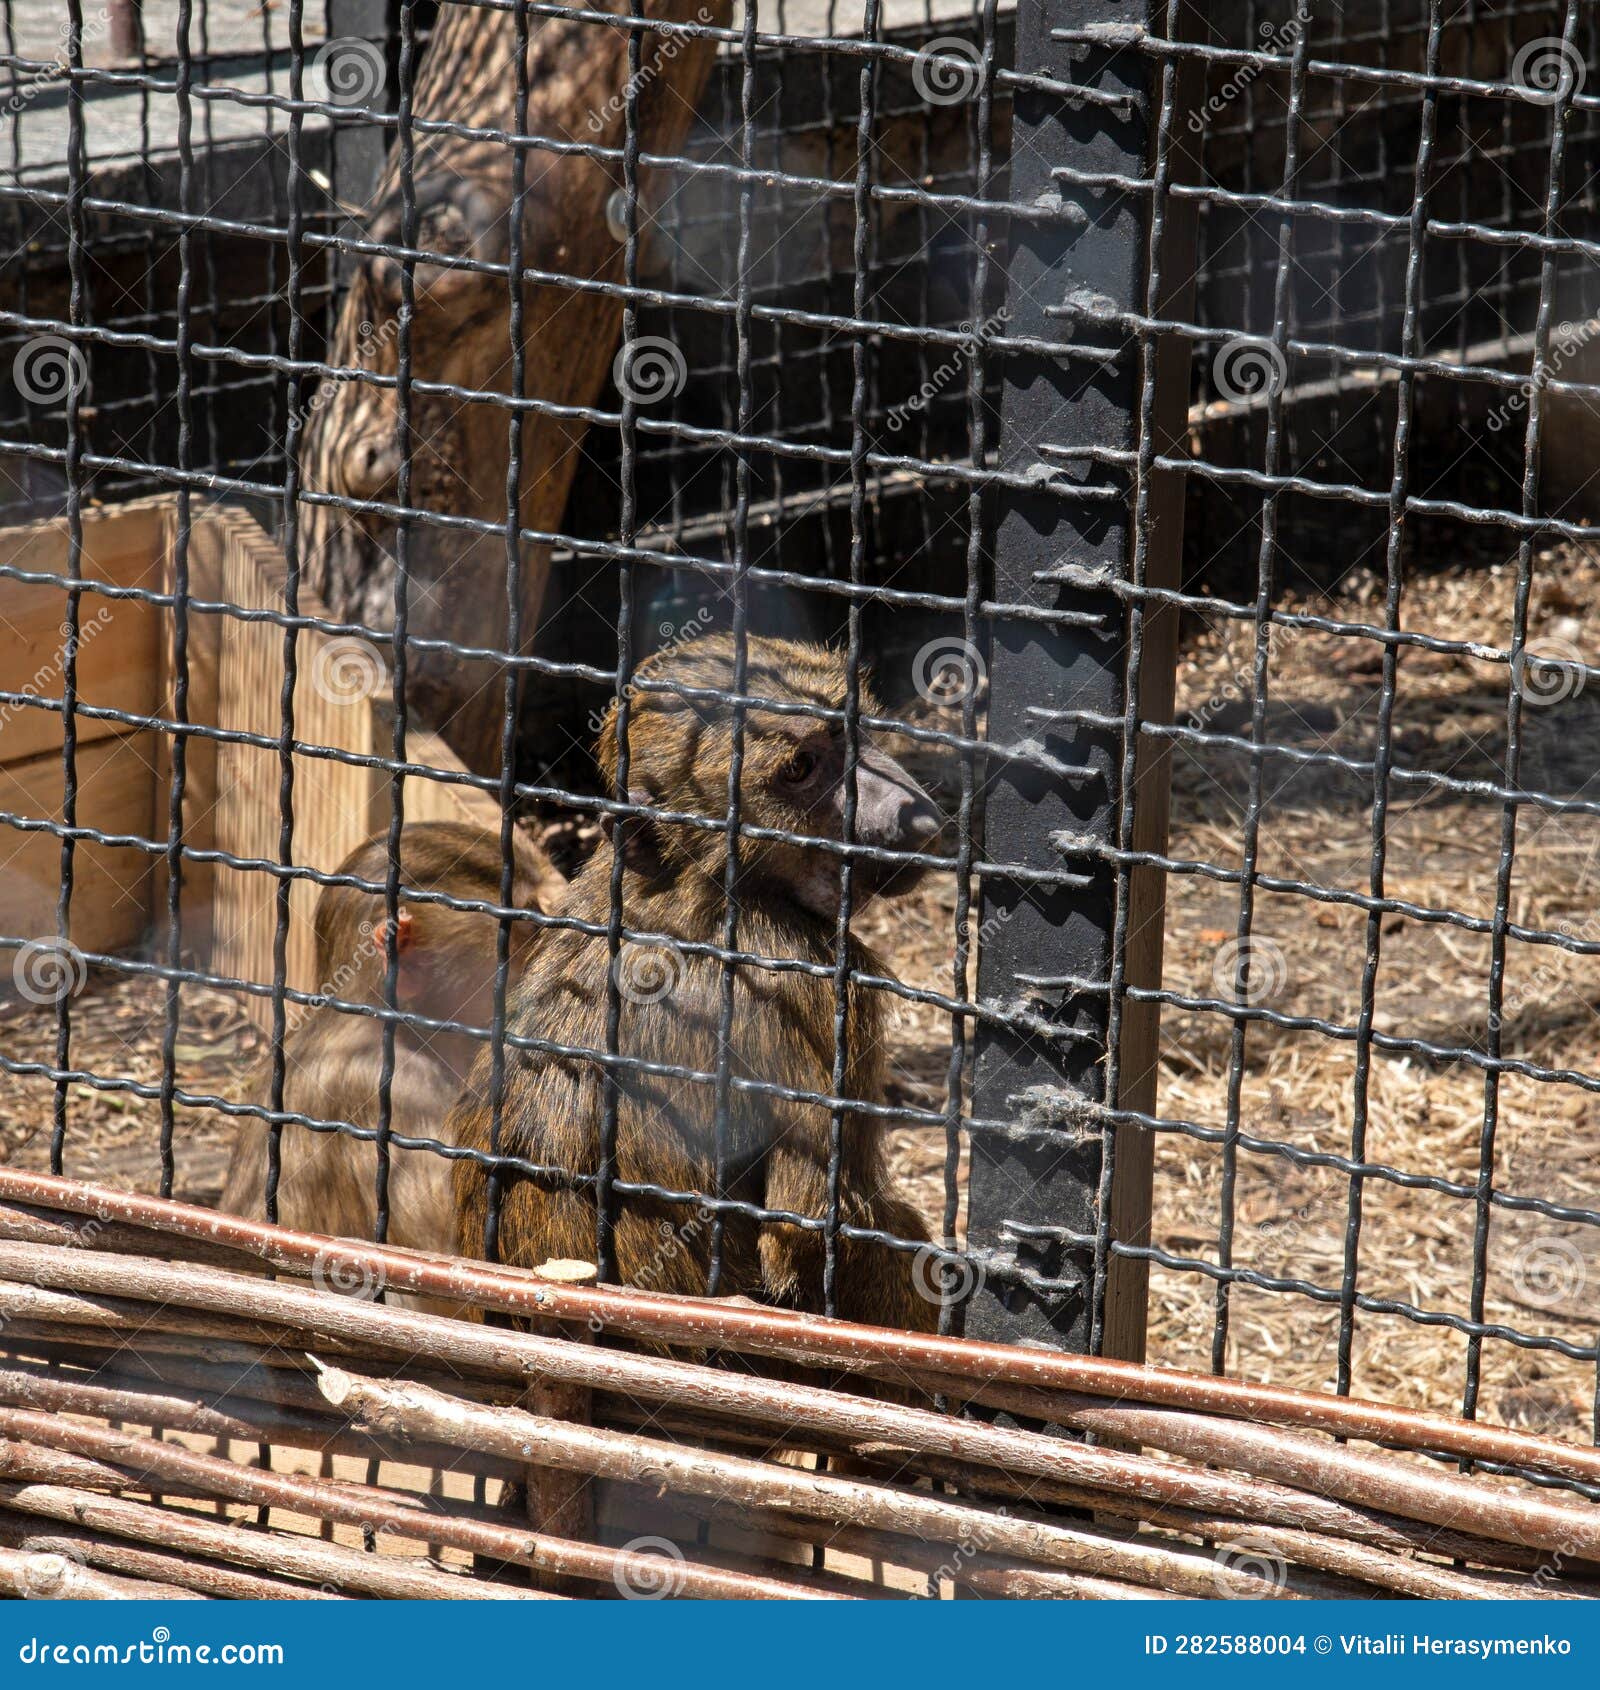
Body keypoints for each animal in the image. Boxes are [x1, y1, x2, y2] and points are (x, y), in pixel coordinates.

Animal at [450, 634, 946, 1337]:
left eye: (848, 735)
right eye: (800, 768)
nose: (919, 818)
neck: (693, 887)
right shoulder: (810, 974)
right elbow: (810, 1236)